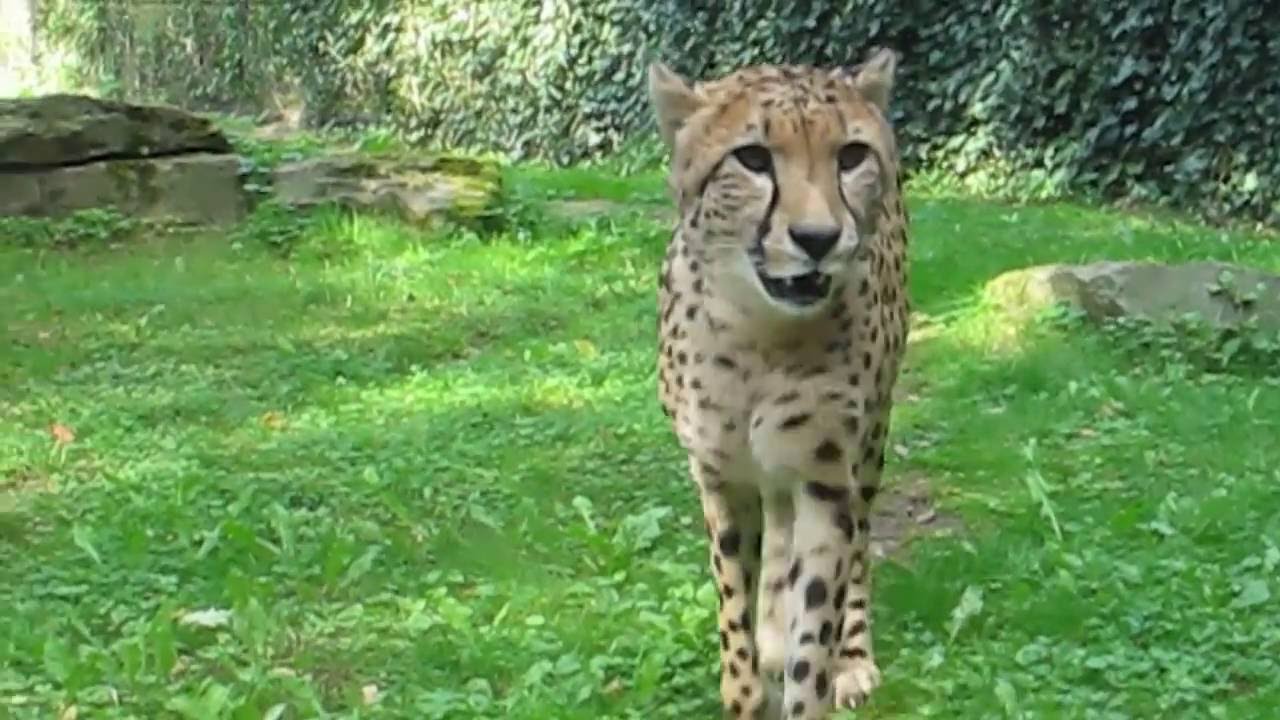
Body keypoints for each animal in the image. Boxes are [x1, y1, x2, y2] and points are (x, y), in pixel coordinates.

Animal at [647, 47, 911, 719]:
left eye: (851, 155)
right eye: (753, 159)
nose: (817, 239)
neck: (758, 338)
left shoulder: (825, 476)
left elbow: (815, 623)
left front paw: (814, 673)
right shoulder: (720, 475)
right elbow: (733, 607)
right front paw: (745, 687)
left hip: (869, 444)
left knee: (855, 546)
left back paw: (853, 658)